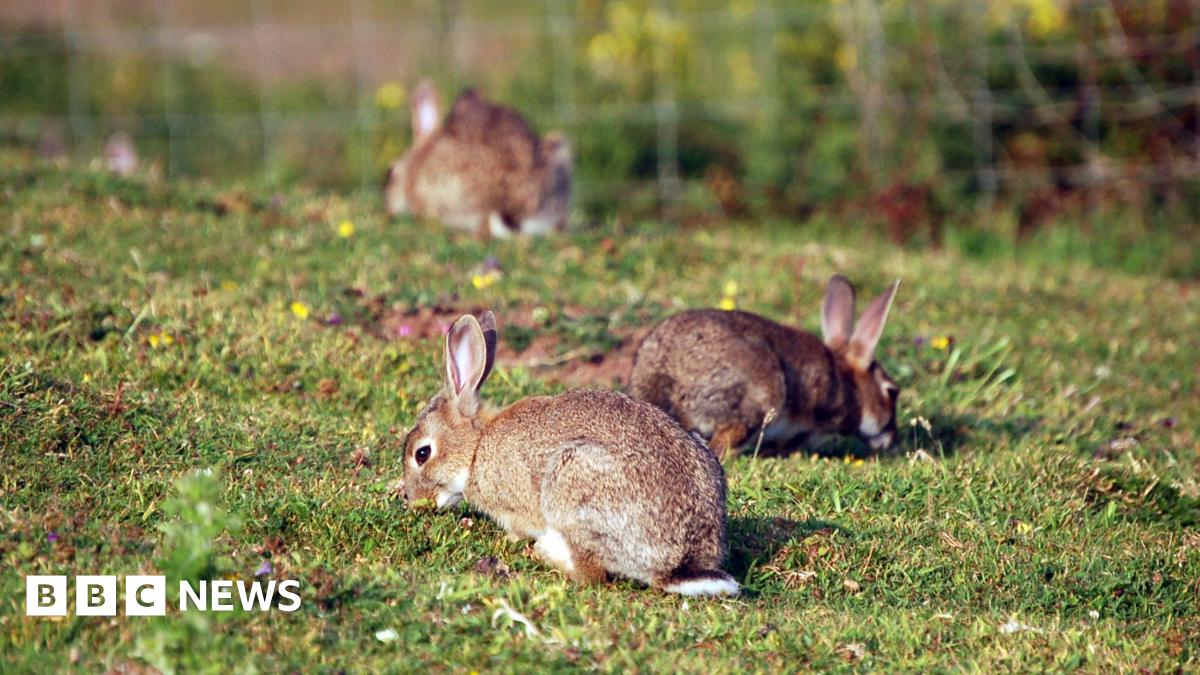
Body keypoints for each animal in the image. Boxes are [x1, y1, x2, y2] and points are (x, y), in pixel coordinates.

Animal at [401, 311, 738, 597]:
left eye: (422, 453)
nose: (413, 502)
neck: (476, 447)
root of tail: (681, 563)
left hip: (572, 483)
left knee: (592, 574)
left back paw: (547, 552)